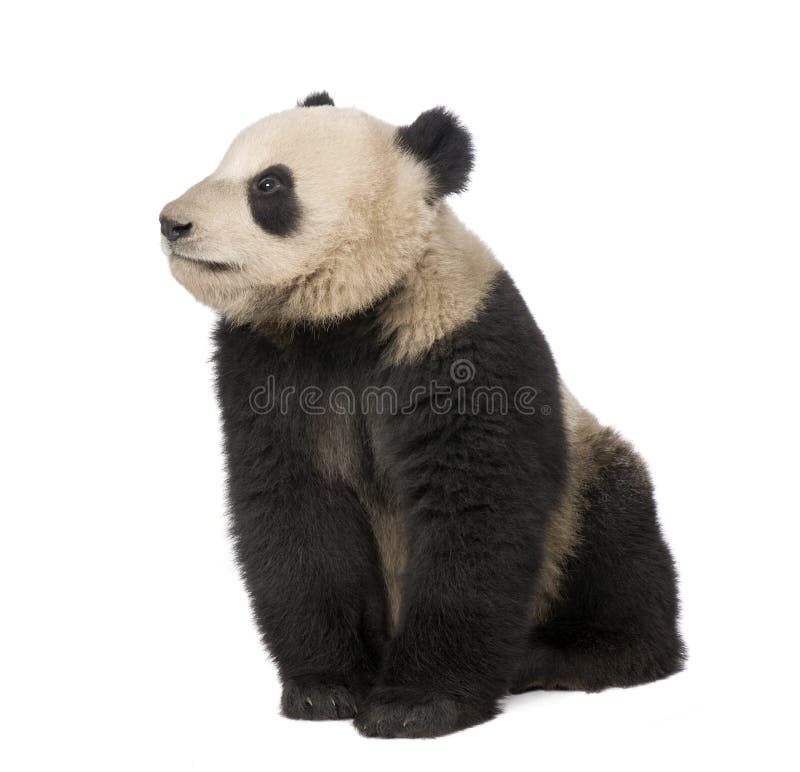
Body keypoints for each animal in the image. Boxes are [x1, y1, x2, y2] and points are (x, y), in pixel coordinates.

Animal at [160, 91, 685, 738]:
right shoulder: (266, 368)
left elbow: (472, 505)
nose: (172, 222)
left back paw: (574, 657)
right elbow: (293, 504)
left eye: (268, 185)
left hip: (582, 486)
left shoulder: (459, 339)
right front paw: (325, 687)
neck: (344, 317)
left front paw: (416, 703)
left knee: (618, 542)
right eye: (223, 163)